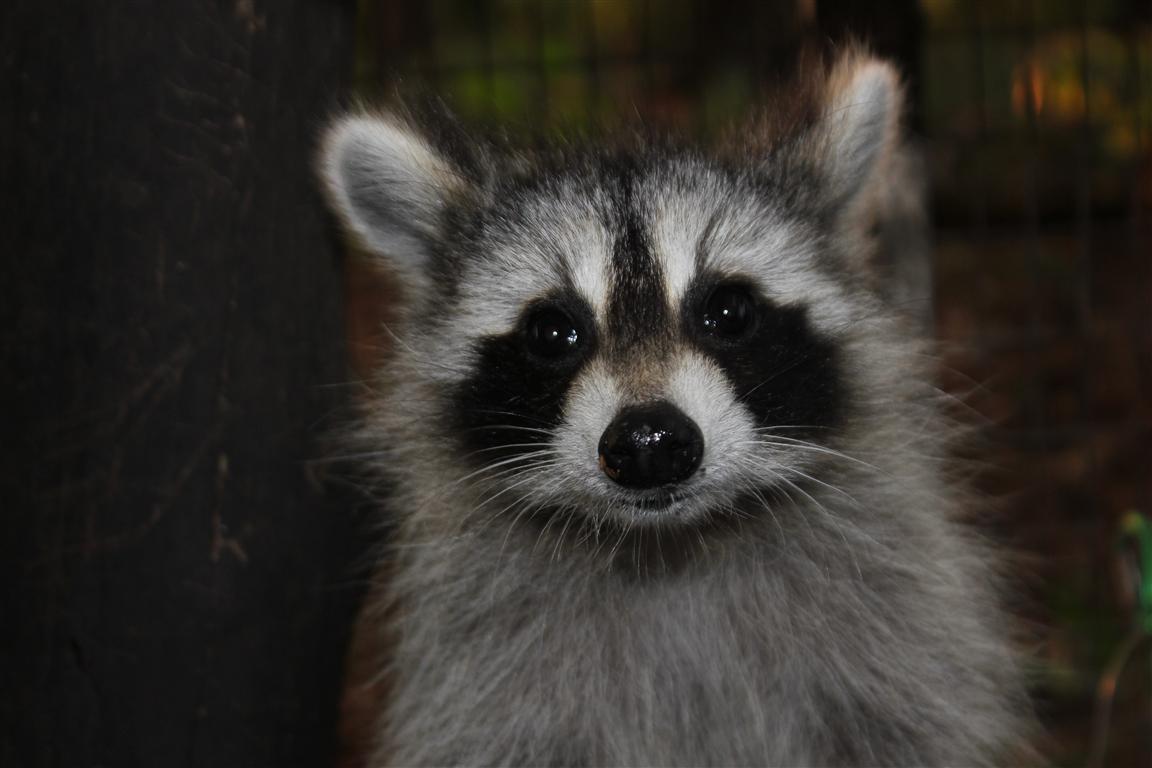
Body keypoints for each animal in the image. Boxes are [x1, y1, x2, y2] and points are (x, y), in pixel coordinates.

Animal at [320, 49, 1030, 767]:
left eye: (729, 310)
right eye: (552, 332)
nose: (649, 445)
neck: (669, 547)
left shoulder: (898, 636)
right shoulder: (486, 682)